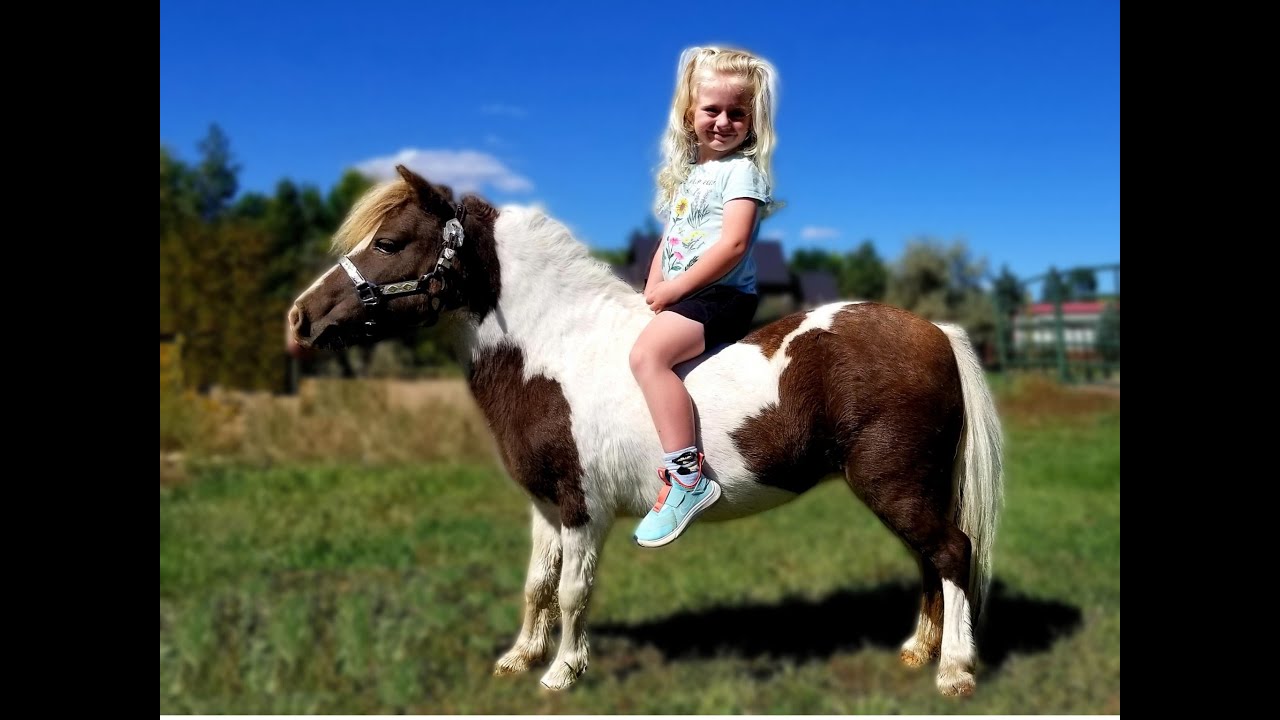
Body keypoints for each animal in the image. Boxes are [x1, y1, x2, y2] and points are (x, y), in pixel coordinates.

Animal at [287, 164, 1004, 697]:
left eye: (389, 242)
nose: (299, 318)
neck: (555, 350)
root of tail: (935, 329)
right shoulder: (544, 506)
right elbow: (537, 585)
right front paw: (519, 659)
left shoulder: (584, 509)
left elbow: (573, 592)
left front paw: (561, 672)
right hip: (906, 488)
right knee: (928, 560)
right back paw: (918, 651)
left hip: (897, 483)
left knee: (951, 553)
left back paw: (954, 671)